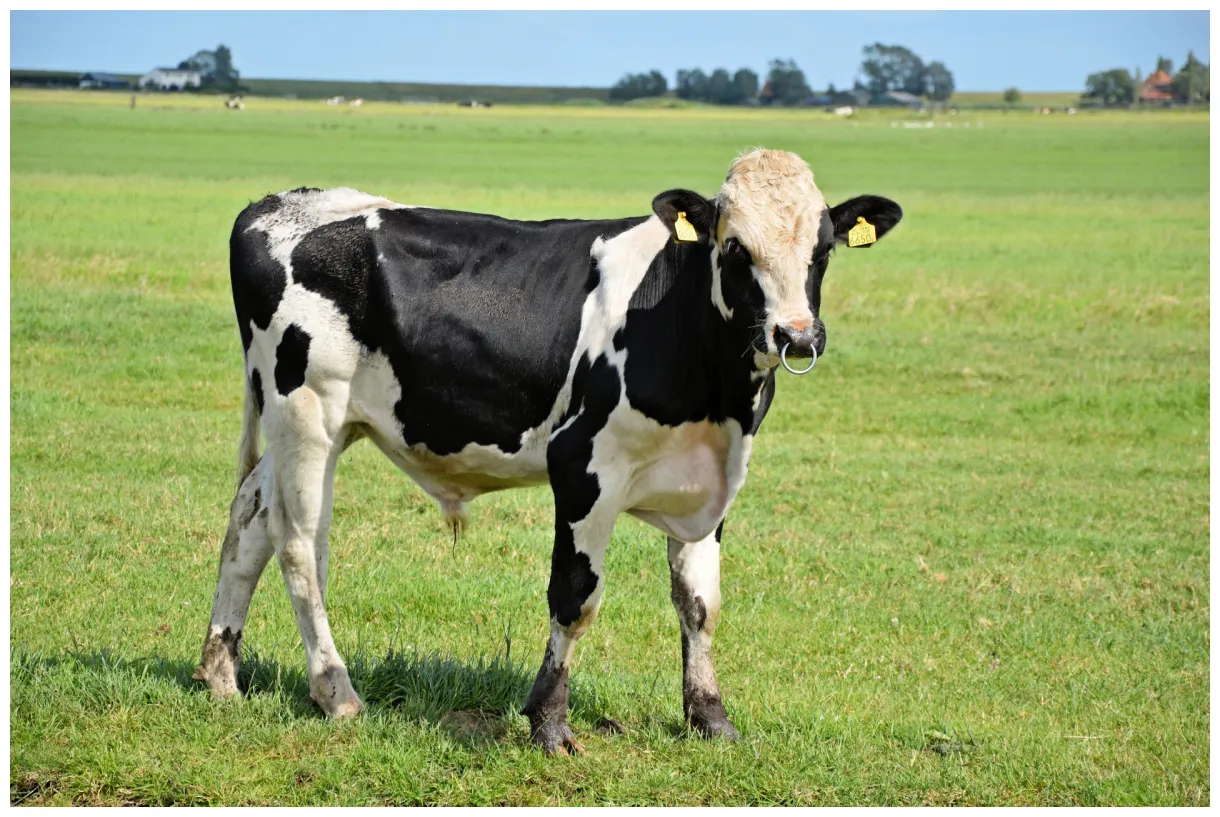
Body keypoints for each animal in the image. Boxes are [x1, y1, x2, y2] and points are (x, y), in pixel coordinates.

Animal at [194, 148, 902, 755]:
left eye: (823, 250)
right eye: (734, 246)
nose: (796, 335)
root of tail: (277, 203)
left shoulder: (710, 483)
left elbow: (700, 604)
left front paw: (710, 719)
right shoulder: (583, 467)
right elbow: (575, 598)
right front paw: (549, 723)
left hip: (299, 423)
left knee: (250, 518)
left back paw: (219, 674)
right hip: (306, 412)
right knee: (299, 543)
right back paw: (335, 690)